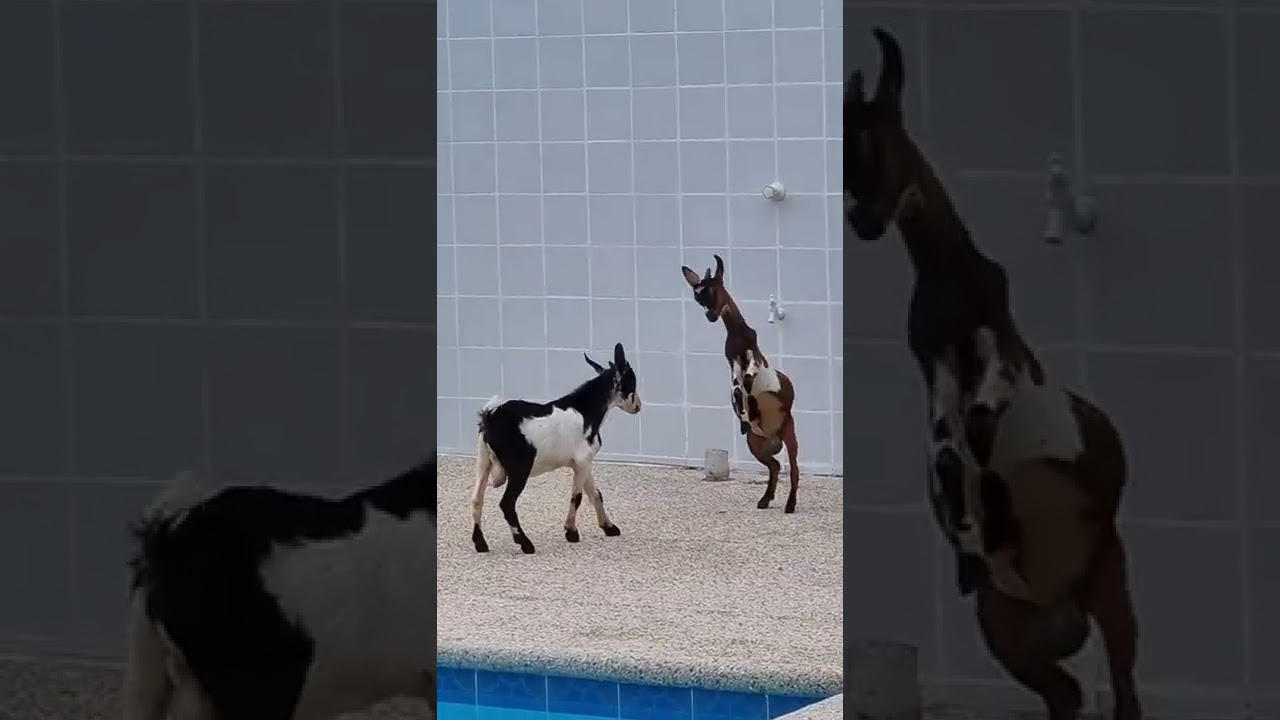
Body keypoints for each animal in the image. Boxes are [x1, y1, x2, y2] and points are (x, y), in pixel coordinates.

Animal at [471, 342, 641, 554]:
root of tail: (489, 417)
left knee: (477, 498)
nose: (638, 406)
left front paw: (608, 527)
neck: (585, 410)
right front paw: (571, 531)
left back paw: (480, 542)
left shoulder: (583, 464)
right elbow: (577, 496)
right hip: (520, 469)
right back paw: (524, 542)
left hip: (483, 461)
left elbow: (595, 494)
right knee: (507, 504)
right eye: (632, 382)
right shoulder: (582, 461)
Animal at [681, 256, 801, 513]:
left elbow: (747, 382)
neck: (738, 334)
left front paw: (751, 410)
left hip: (789, 431)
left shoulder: (753, 361)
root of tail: (773, 438)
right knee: (775, 465)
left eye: (714, 289)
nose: (711, 316)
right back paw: (764, 500)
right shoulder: (733, 368)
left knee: (793, 467)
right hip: (755, 444)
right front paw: (745, 416)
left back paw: (790, 505)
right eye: (697, 297)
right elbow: (736, 390)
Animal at [845, 28, 1140, 720]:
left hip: (1112, 590)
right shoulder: (934, 369)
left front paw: (991, 516)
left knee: (1124, 694)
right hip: (1006, 631)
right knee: (1065, 697)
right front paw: (972, 541)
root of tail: (1062, 607)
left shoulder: (997, 351)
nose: (863, 220)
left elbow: (981, 426)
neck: (952, 278)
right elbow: (949, 453)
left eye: (885, 137)